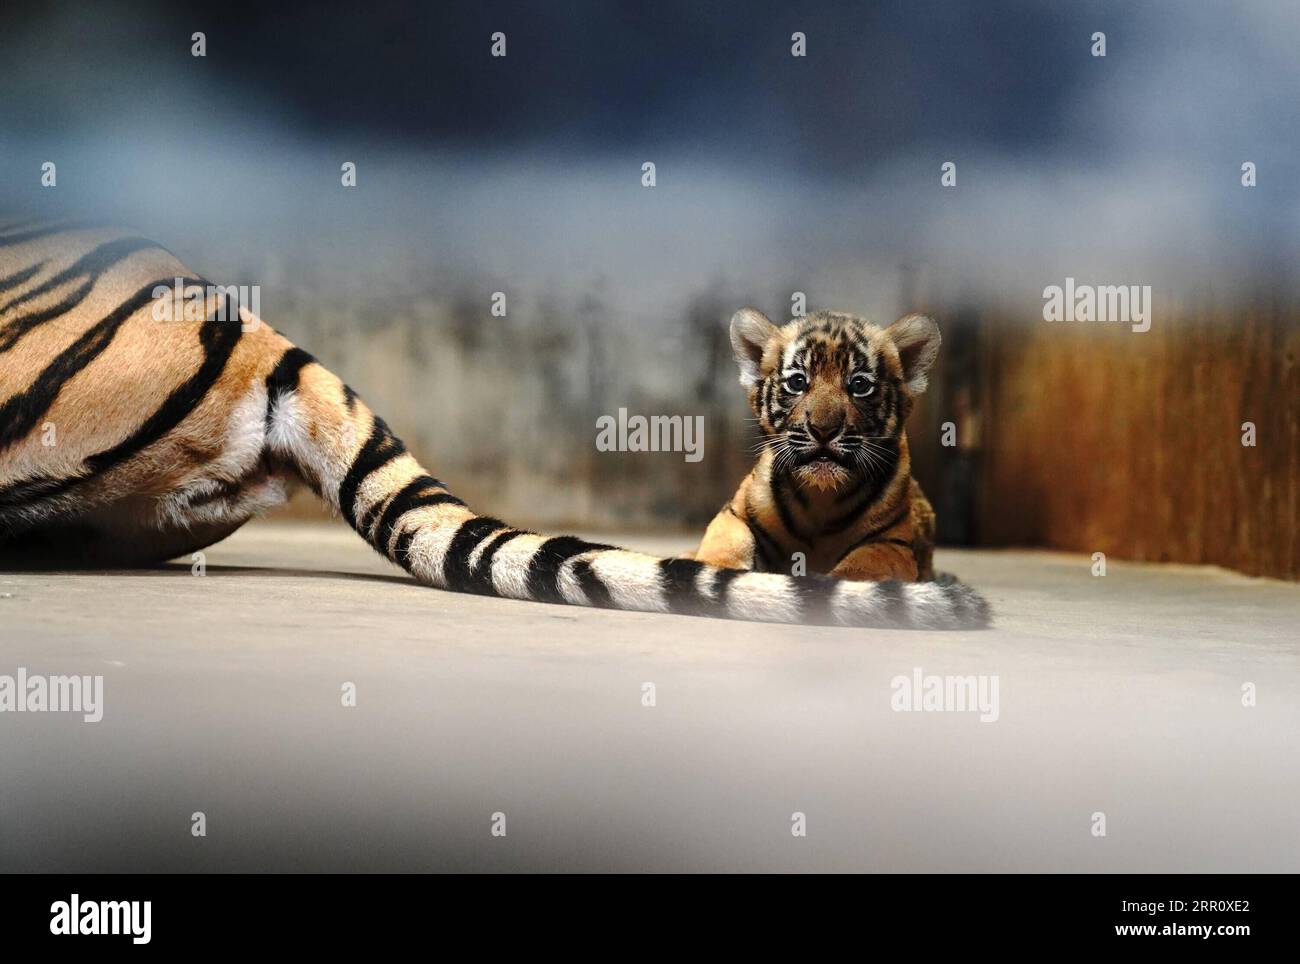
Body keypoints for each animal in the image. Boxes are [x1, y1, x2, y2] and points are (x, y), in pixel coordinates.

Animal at [695, 307, 946, 586]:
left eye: (859, 384)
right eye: (797, 382)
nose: (823, 429)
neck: (821, 499)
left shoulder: (892, 543)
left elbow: (861, 566)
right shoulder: (734, 515)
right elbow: (726, 544)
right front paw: (712, 572)